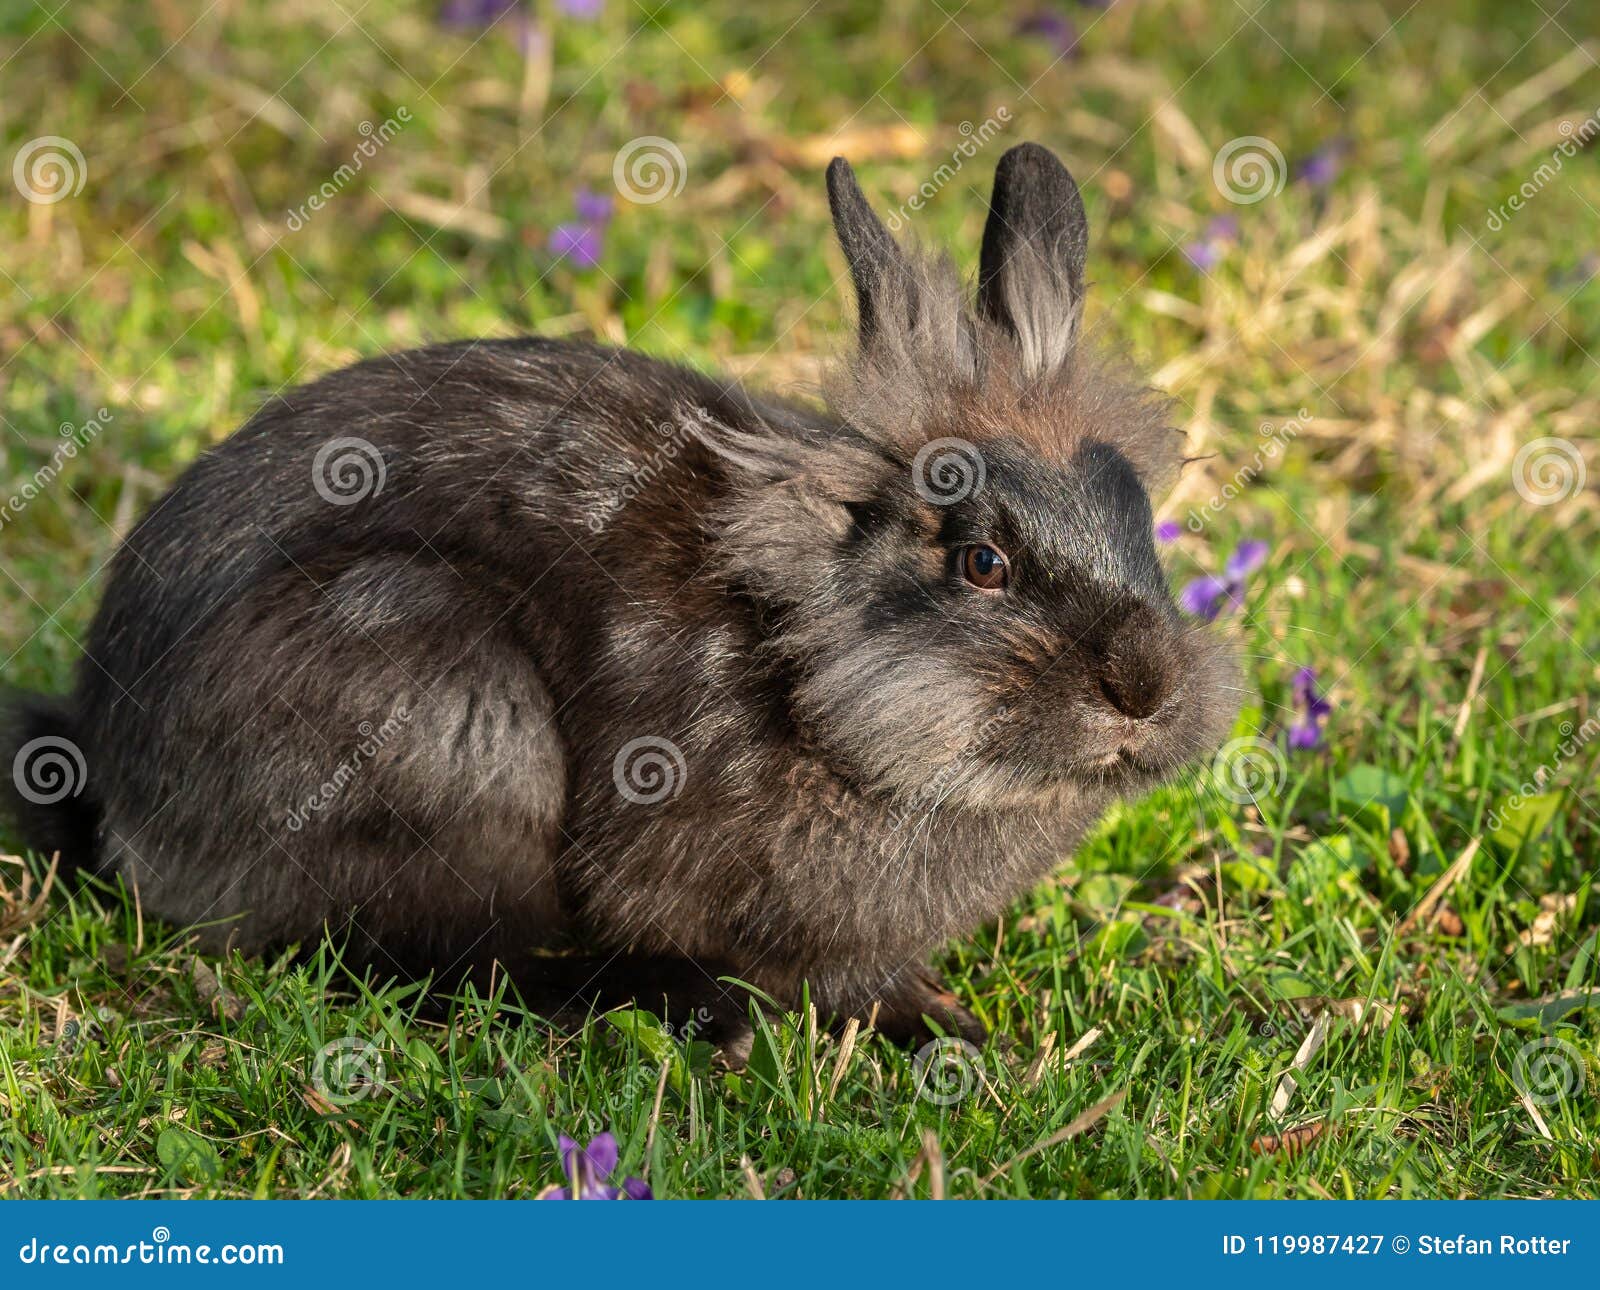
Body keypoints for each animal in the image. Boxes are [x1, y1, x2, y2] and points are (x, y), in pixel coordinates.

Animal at [2, 142, 1238, 1049]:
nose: (1146, 689)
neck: (807, 663)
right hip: (438, 699)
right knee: (438, 956)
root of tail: (120, 780)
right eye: (983, 562)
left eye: (1137, 520)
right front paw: (934, 1029)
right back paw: (686, 1012)